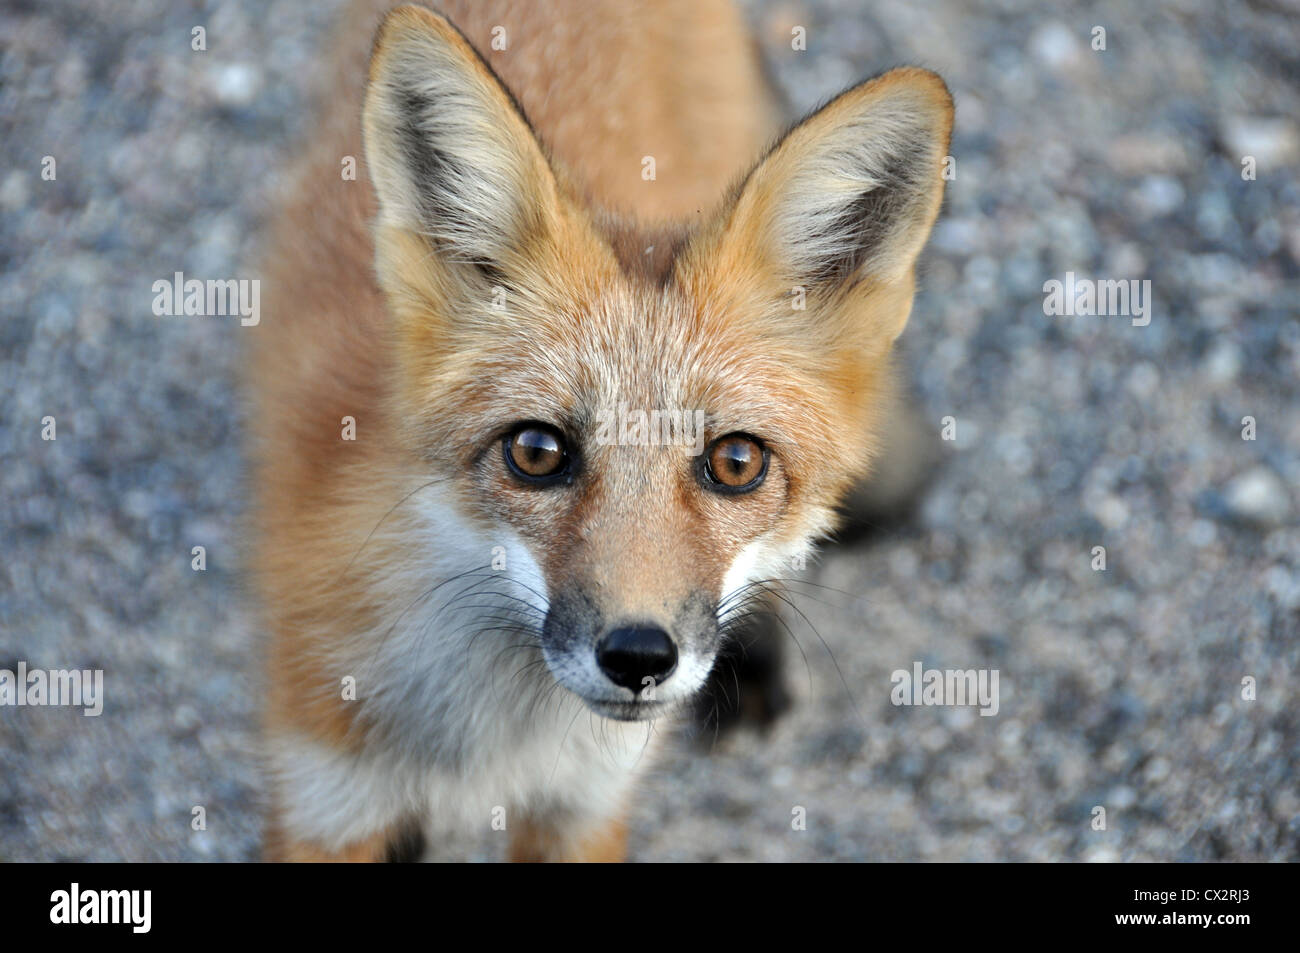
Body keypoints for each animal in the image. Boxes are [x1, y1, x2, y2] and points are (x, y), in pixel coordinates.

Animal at [248, 0, 952, 861]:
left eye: (737, 461)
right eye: (536, 451)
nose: (639, 658)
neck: (498, 743)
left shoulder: (585, 800)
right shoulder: (325, 794)